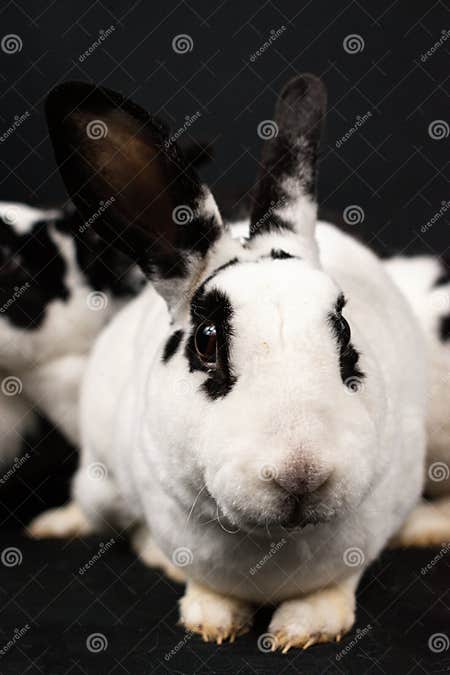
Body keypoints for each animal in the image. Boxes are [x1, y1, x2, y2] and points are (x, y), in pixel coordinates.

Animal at [27, 72, 446, 651]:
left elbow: (338, 583)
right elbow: (204, 583)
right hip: (100, 480)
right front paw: (211, 620)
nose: (300, 473)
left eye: (344, 331)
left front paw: (303, 628)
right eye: (206, 343)